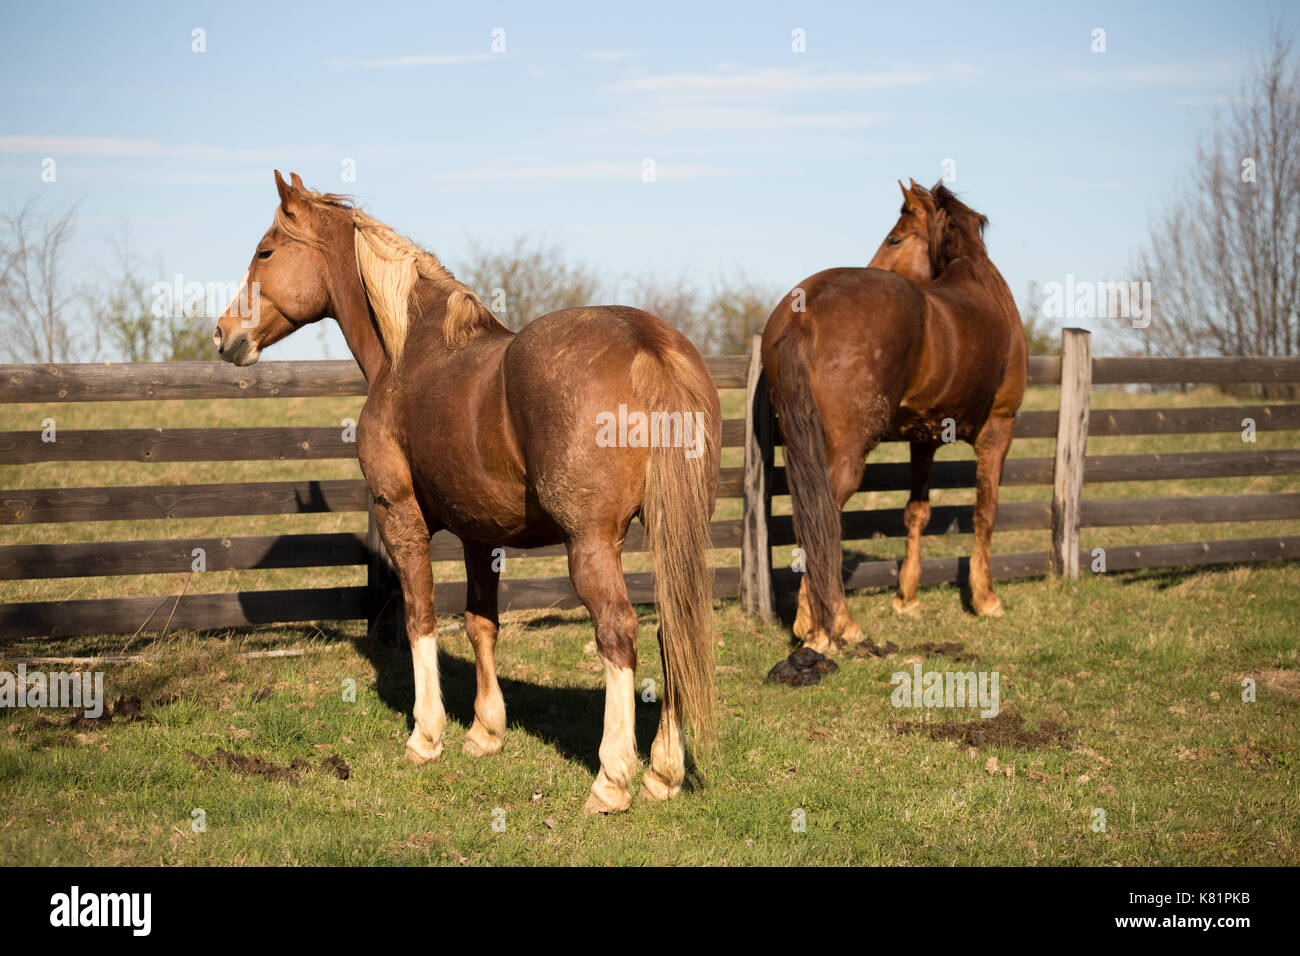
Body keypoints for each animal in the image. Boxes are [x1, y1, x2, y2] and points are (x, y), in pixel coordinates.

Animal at [213, 172, 720, 813]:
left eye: (265, 252)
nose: (224, 334)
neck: (411, 353)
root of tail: (647, 342)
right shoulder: (482, 534)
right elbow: (482, 622)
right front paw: (485, 731)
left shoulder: (400, 515)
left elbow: (421, 618)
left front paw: (426, 735)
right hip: (673, 534)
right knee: (673, 627)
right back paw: (663, 771)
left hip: (592, 544)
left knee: (619, 632)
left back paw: (612, 778)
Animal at [761, 179, 1026, 655]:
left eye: (895, 239)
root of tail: (807, 309)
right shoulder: (1000, 427)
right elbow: (985, 510)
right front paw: (986, 598)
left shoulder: (925, 438)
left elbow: (916, 512)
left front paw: (907, 598)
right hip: (848, 451)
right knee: (826, 518)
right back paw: (833, 627)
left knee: (809, 519)